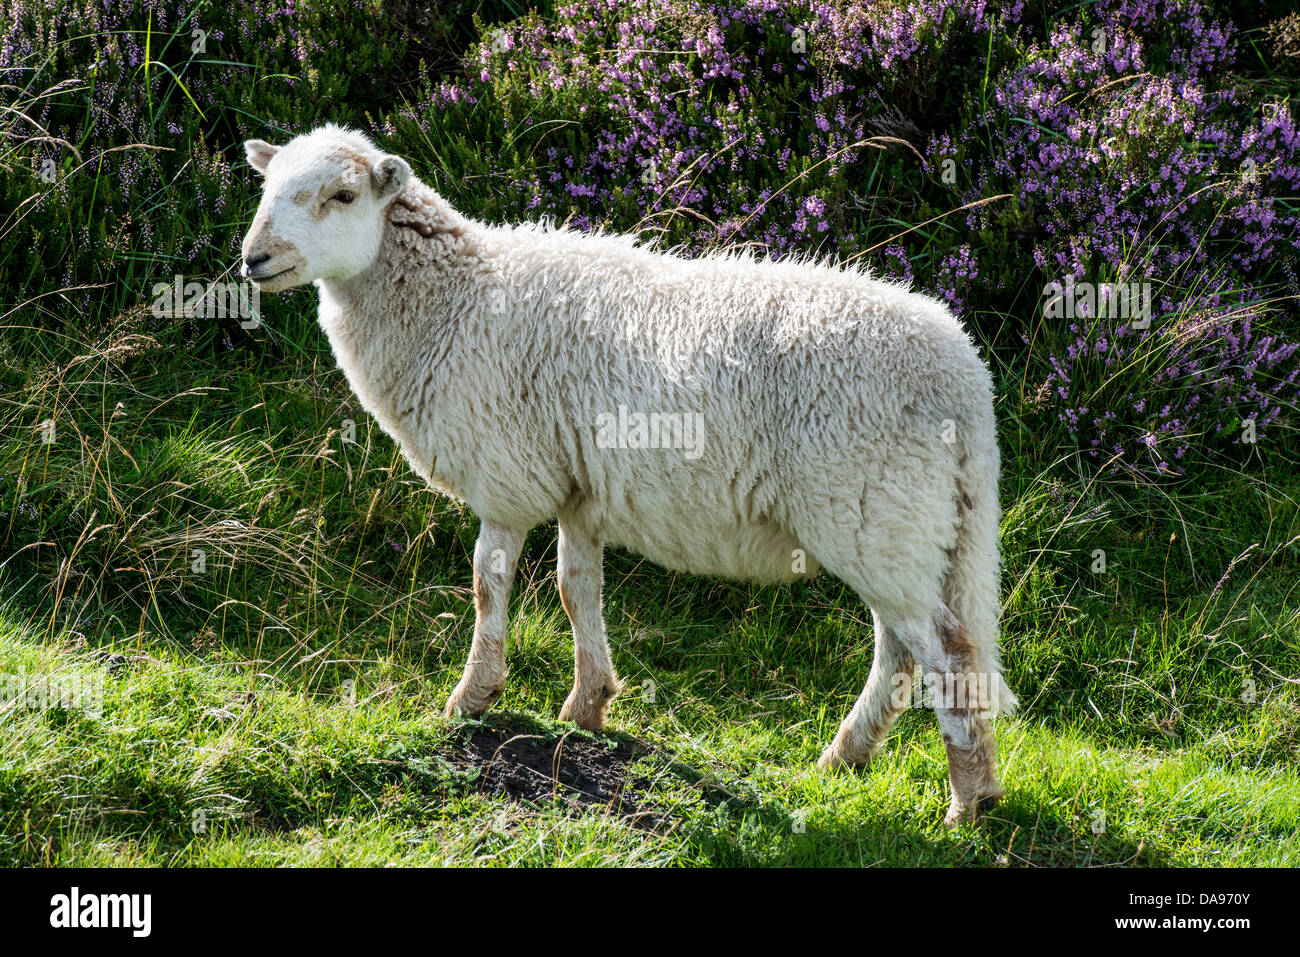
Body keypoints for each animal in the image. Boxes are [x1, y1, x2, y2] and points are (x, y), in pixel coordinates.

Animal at [240, 124, 1018, 826]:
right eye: (267, 188)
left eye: (342, 195)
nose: (253, 259)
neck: (452, 301)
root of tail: (966, 378)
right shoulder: (579, 491)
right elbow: (575, 588)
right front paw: (587, 707)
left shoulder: (505, 480)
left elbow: (489, 586)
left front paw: (472, 699)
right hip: (905, 526)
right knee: (904, 650)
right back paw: (848, 756)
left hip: (871, 513)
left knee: (946, 655)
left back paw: (967, 802)